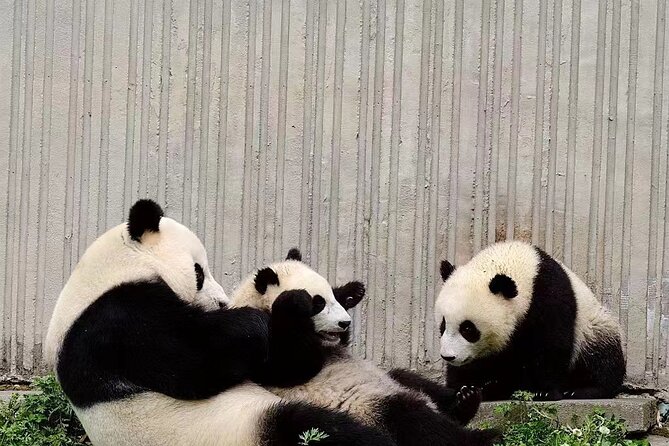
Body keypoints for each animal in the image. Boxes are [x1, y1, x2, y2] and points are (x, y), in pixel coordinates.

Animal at [45, 199, 395, 446]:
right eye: (199, 272)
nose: (222, 303)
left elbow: (275, 367)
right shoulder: (120, 323)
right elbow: (199, 360)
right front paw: (277, 310)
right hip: (240, 427)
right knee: (312, 429)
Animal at [231, 249, 501, 446]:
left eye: (330, 296)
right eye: (318, 303)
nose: (345, 322)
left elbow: (341, 343)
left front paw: (351, 292)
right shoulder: (257, 340)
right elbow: (292, 366)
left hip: (388, 377)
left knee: (411, 379)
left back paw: (464, 401)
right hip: (366, 406)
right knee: (414, 421)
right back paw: (481, 436)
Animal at [435, 240, 626, 401]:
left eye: (468, 329)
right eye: (443, 325)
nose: (448, 356)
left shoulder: (549, 296)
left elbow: (552, 345)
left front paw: (545, 391)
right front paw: (463, 390)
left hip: (593, 328)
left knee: (601, 358)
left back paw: (583, 389)